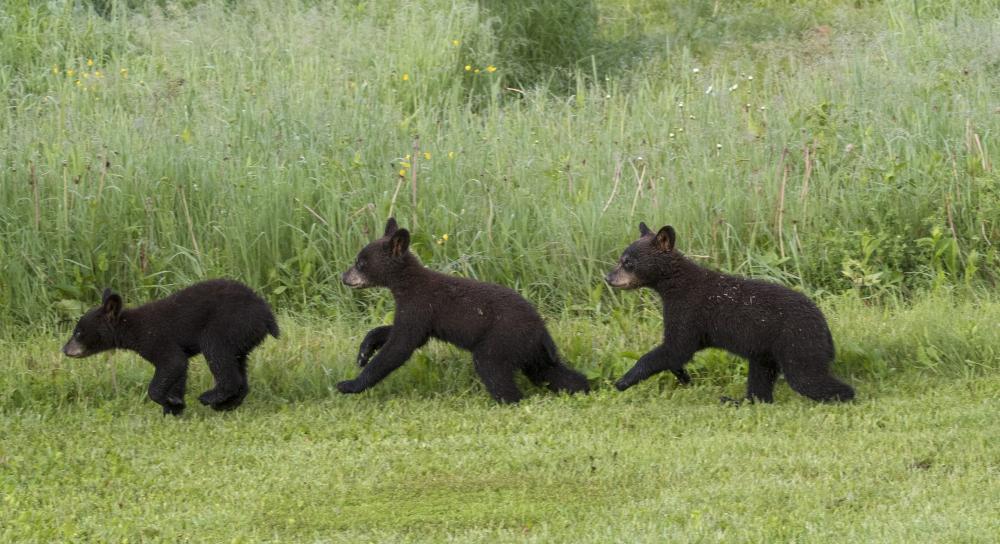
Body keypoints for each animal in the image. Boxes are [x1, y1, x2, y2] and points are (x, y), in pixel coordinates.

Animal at [61, 279, 279, 415]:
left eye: (78, 332)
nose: (65, 349)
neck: (132, 328)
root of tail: (267, 314)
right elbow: (178, 370)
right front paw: (174, 406)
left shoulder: (156, 339)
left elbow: (172, 363)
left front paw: (171, 402)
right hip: (243, 339)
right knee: (238, 366)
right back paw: (228, 404)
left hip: (228, 326)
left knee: (218, 354)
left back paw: (210, 397)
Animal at [337, 217, 590, 403]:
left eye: (360, 262)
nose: (344, 277)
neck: (408, 285)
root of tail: (542, 329)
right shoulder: (418, 313)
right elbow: (401, 333)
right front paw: (364, 350)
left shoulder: (419, 305)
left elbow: (400, 346)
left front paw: (349, 384)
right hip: (531, 352)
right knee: (552, 373)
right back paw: (584, 387)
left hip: (501, 340)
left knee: (493, 370)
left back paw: (509, 400)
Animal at [605, 222, 854, 404]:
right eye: (621, 259)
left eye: (628, 262)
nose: (608, 278)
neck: (676, 285)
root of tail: (824, 327)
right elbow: (676, 351)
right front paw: (683, 375)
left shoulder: (688, 309)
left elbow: (676, 347)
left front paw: (623, 380)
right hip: (766, 350)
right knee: (761, 377)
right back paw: (740, 401)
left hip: (797, 342)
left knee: (807, 379)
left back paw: (845, 396)